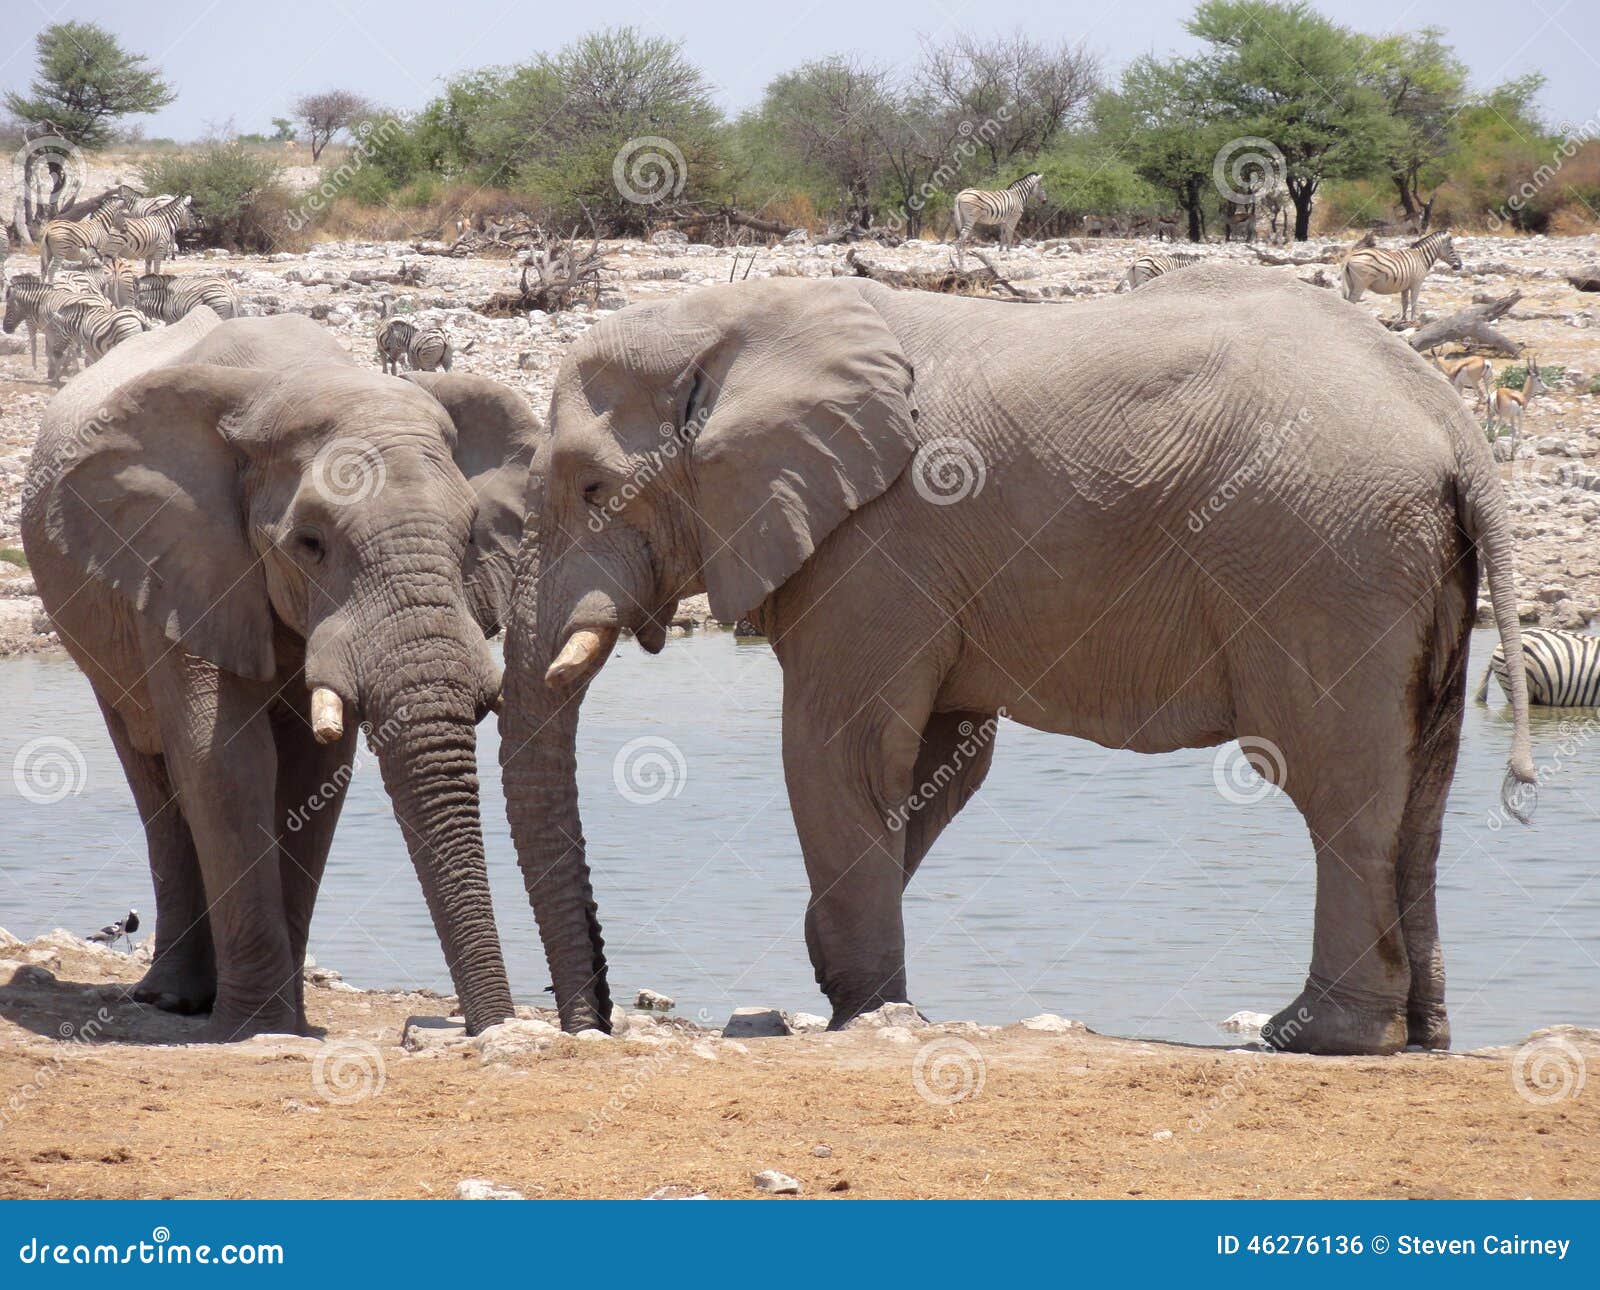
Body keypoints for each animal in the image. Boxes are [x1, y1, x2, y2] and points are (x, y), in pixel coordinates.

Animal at [21, 306, 540, 1039]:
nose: (485, 1027)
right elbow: (226, 762)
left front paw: (284, 1023)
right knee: (153, 771)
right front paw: (257, 1027)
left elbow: (311, 775)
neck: (298, 378)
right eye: (310, 544)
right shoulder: (185, 559)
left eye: (469, 536)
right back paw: (174, 1000)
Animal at [497, 265, 1536, 1057]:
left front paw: (863, 1009)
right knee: (1420, 792)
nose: (591, 1021)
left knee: (1336, 793)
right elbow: (939, 763)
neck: (743, 320)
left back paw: (1316, 1037)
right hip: (1409, 567)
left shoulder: (876, 543)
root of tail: (1451, 423)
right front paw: (849, 986)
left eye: (592, 490)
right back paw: (1425, 1038)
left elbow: (839, 750)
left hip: (1327, 557)